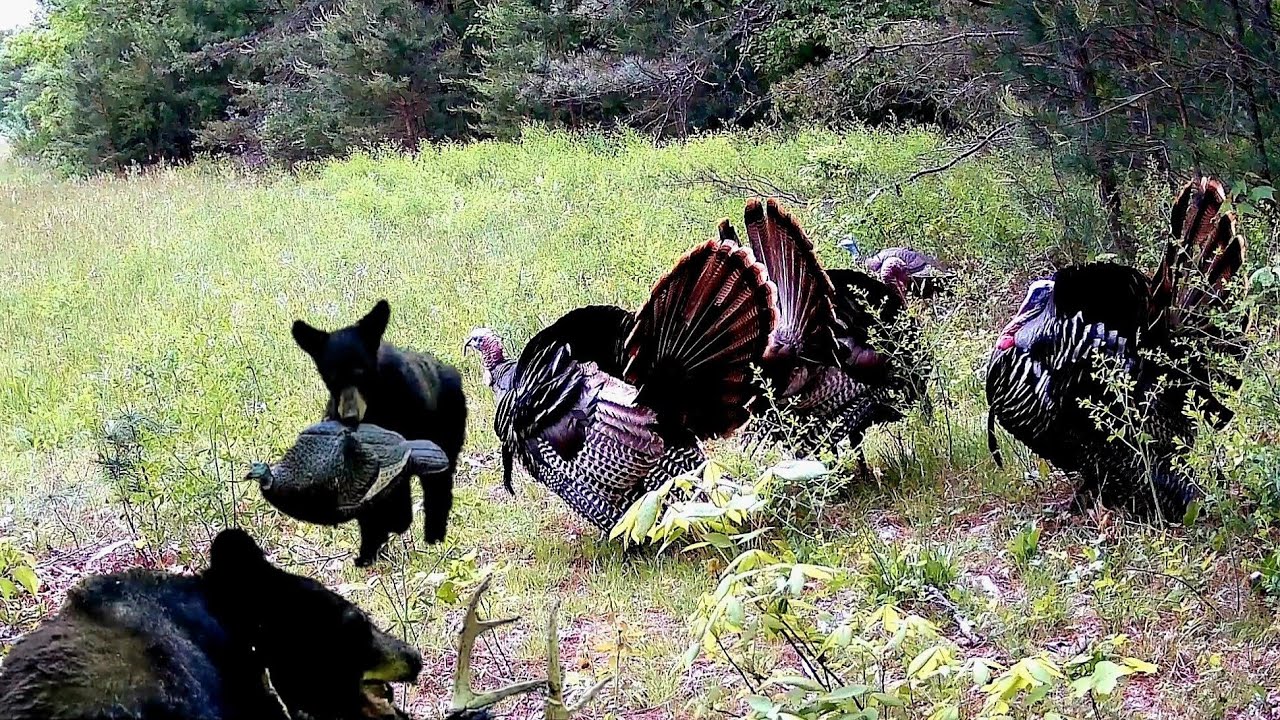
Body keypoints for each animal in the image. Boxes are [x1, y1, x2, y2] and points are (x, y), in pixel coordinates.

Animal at [292, 299, 467, 566]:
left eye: (361, 373)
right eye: (332, 378)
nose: (350, 417)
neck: (377, 404)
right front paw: (371, 547)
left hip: (448, 425)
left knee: (438, 482)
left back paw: (434, 534)